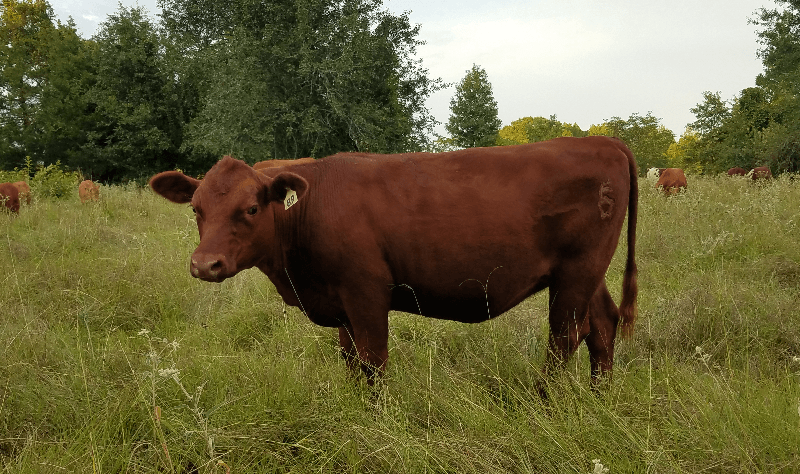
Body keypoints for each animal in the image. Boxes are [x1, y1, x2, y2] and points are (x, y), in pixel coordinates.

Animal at [150, 136, 639, 388]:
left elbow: (373, 362)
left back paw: (542, 402)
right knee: (602, 325)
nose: (204, 264)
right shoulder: (341, 305)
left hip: (576, 272)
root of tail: (600, 140)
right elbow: (351, 362)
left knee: (565, 337)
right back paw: (600, 396)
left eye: (251, 208)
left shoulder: (366, 294)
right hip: (587, 273)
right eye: (196, 208)